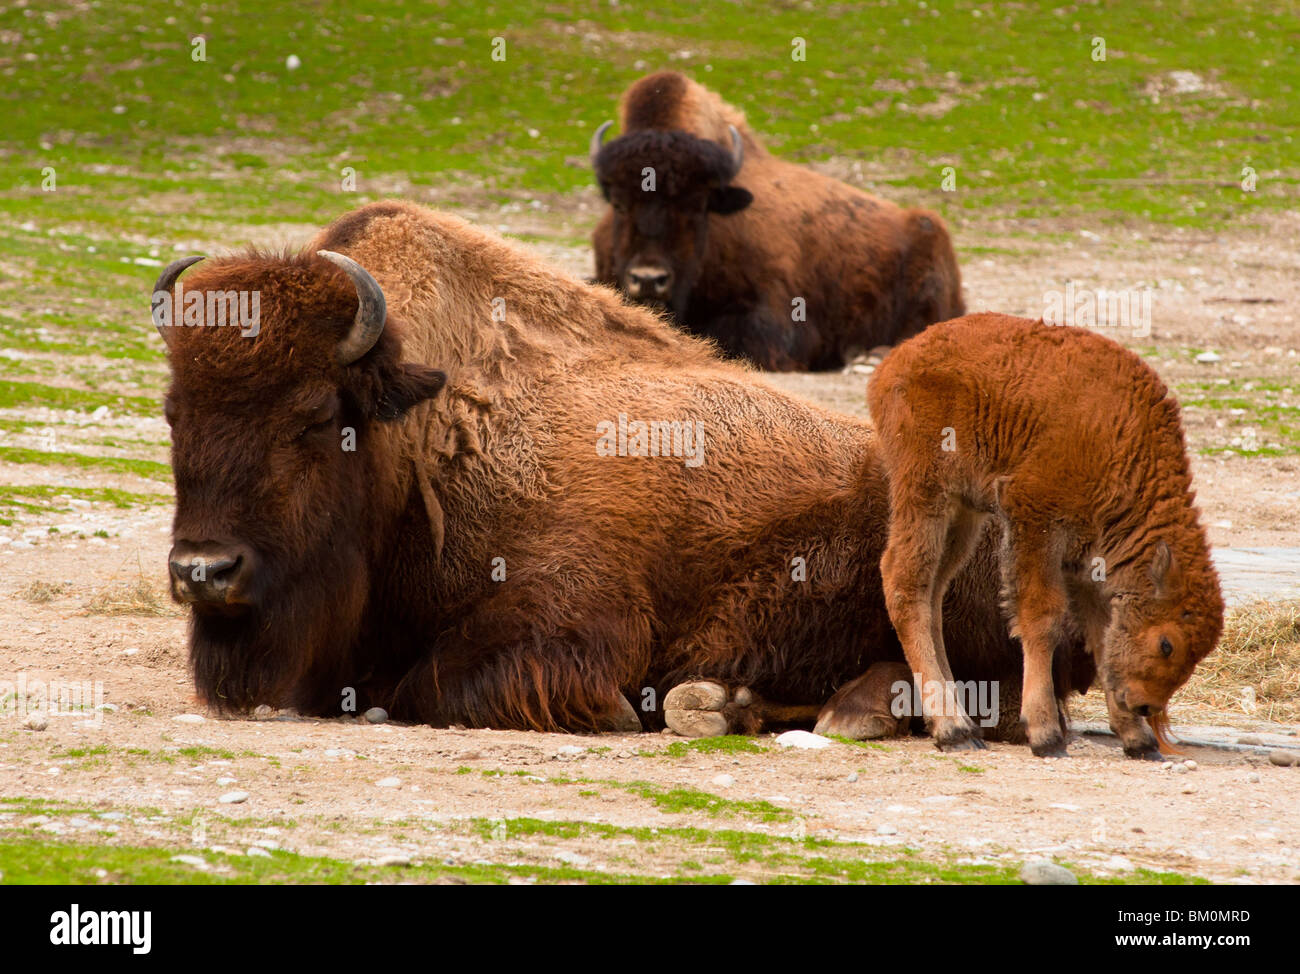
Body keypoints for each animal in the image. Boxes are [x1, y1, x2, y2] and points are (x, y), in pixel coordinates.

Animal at [154, 200, 1087, 748]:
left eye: (315, 414)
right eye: (173, 412)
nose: (203, 571)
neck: (422, 435)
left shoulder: (575, 616)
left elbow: (436, 682)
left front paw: (612, 711)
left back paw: (833, 710)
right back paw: (721, 702)